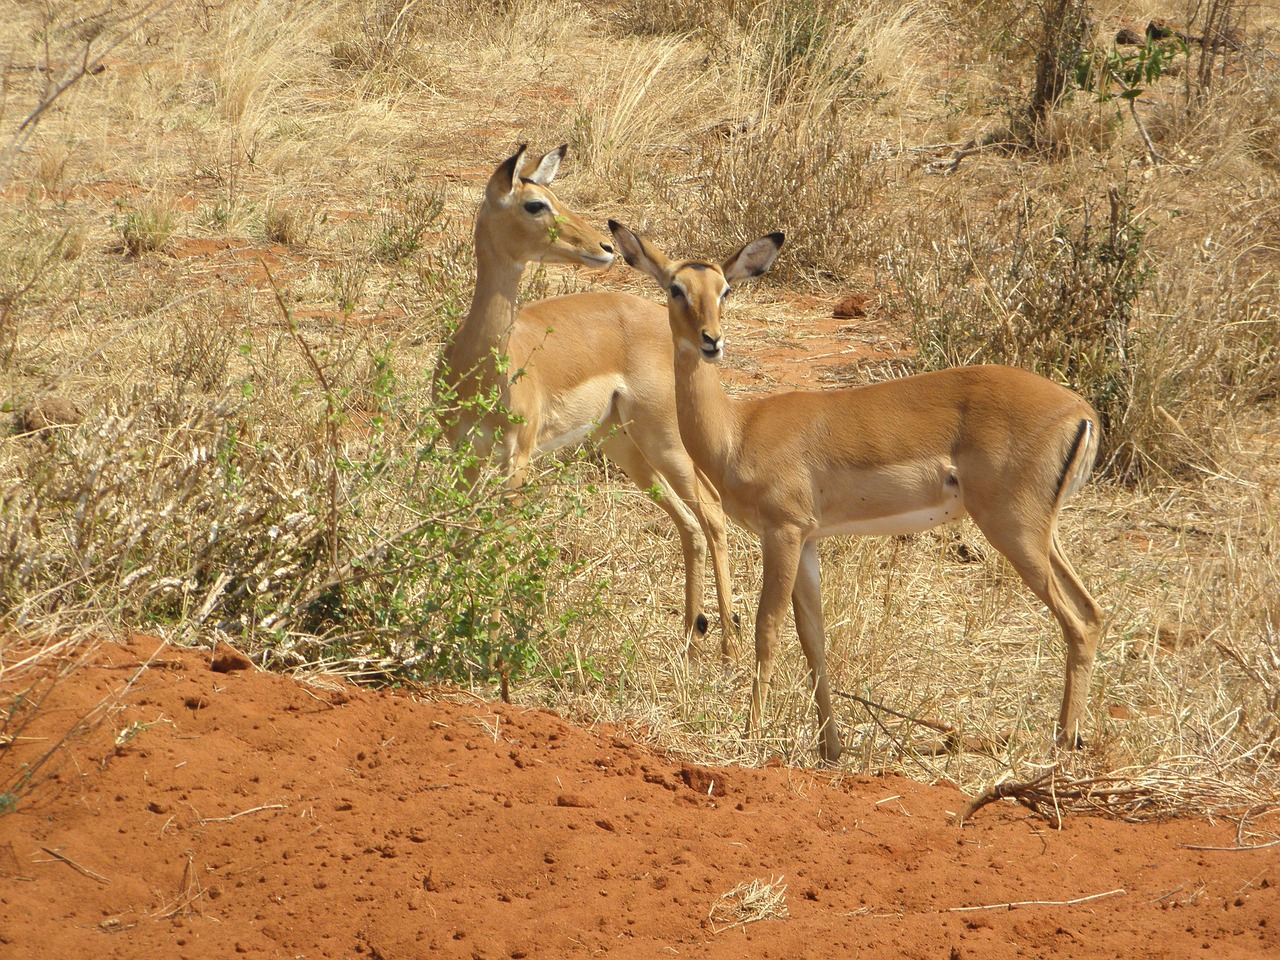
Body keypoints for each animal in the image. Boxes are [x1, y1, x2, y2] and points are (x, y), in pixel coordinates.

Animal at [435, 146, 737, 652]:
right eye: (536, 204)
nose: (604, 247)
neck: (481, 364)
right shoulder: (465, 456)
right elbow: (464, 539)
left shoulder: (518, 457)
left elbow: (501, 541)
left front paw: (490, 645)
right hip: (622, 445)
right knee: (689, 522)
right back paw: (690, 638)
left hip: (664, 440)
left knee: (712, 510)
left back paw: (728, 646)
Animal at [608, 220, 1105, 763]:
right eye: (676, 289)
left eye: (725, 290)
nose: (711, 341)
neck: (738, 431)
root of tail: (1082, 412)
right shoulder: (806, 541)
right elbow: (814, 639)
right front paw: (831, 747)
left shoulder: (781, 533)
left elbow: (767, 630)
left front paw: (751, 735)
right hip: (1039, 532)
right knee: (1094, 613)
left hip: (1013, 528)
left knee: (1076, 623)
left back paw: (1061, 747)